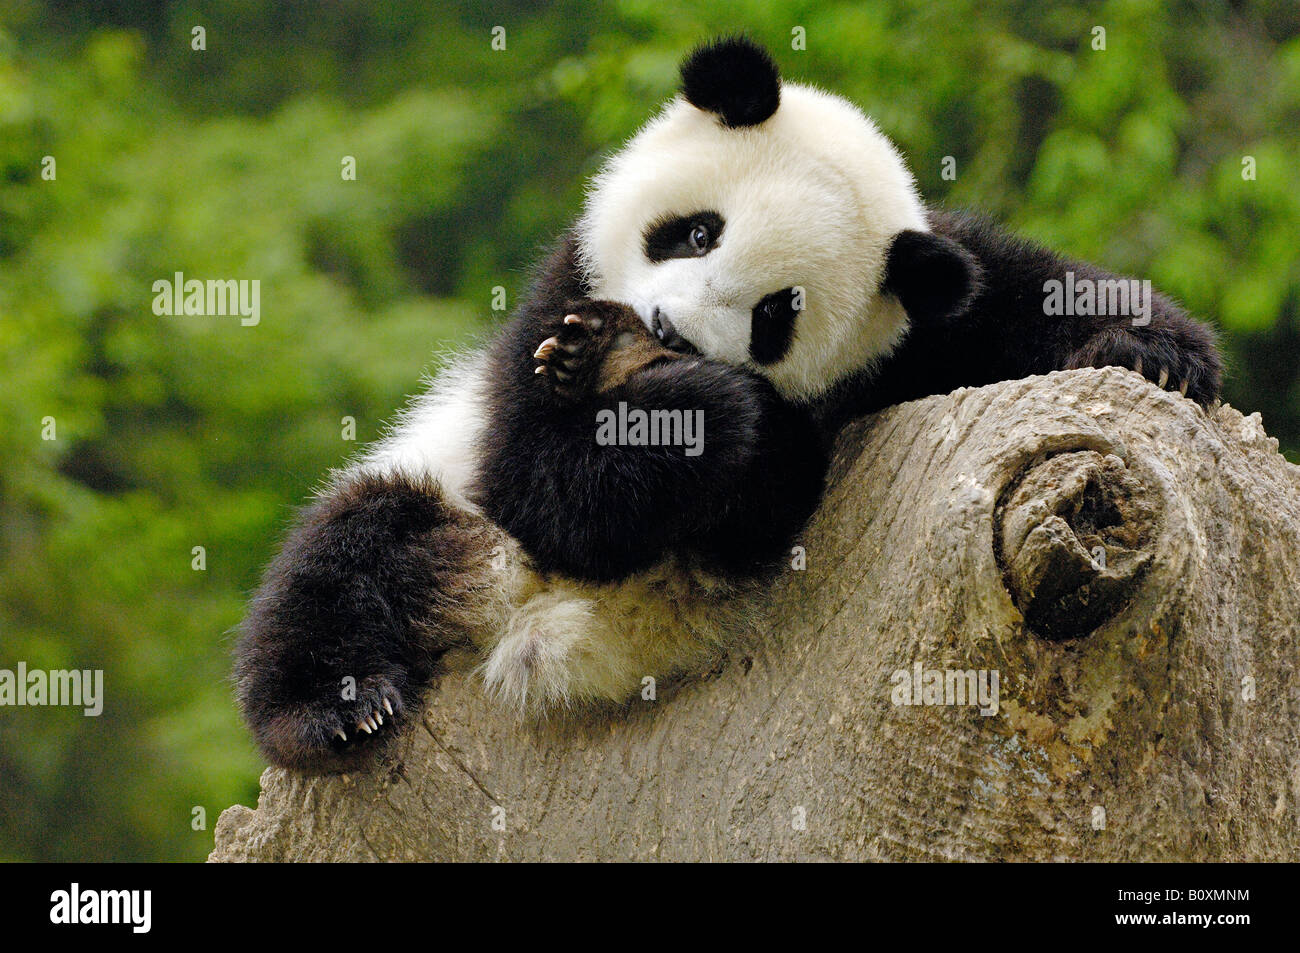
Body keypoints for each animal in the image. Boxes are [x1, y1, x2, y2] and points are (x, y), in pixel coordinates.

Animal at [234, 36, 1221, 772]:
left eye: (775, 313)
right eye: (697, 231)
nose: (664, 329)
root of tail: (536, 631)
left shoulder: (916, 325)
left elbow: (1013, 296)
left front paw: (1157, 351)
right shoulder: (554, 303)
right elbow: (538, 482)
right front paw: (683, 402)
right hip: (452, 512)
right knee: (346, 549)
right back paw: (337, 710)